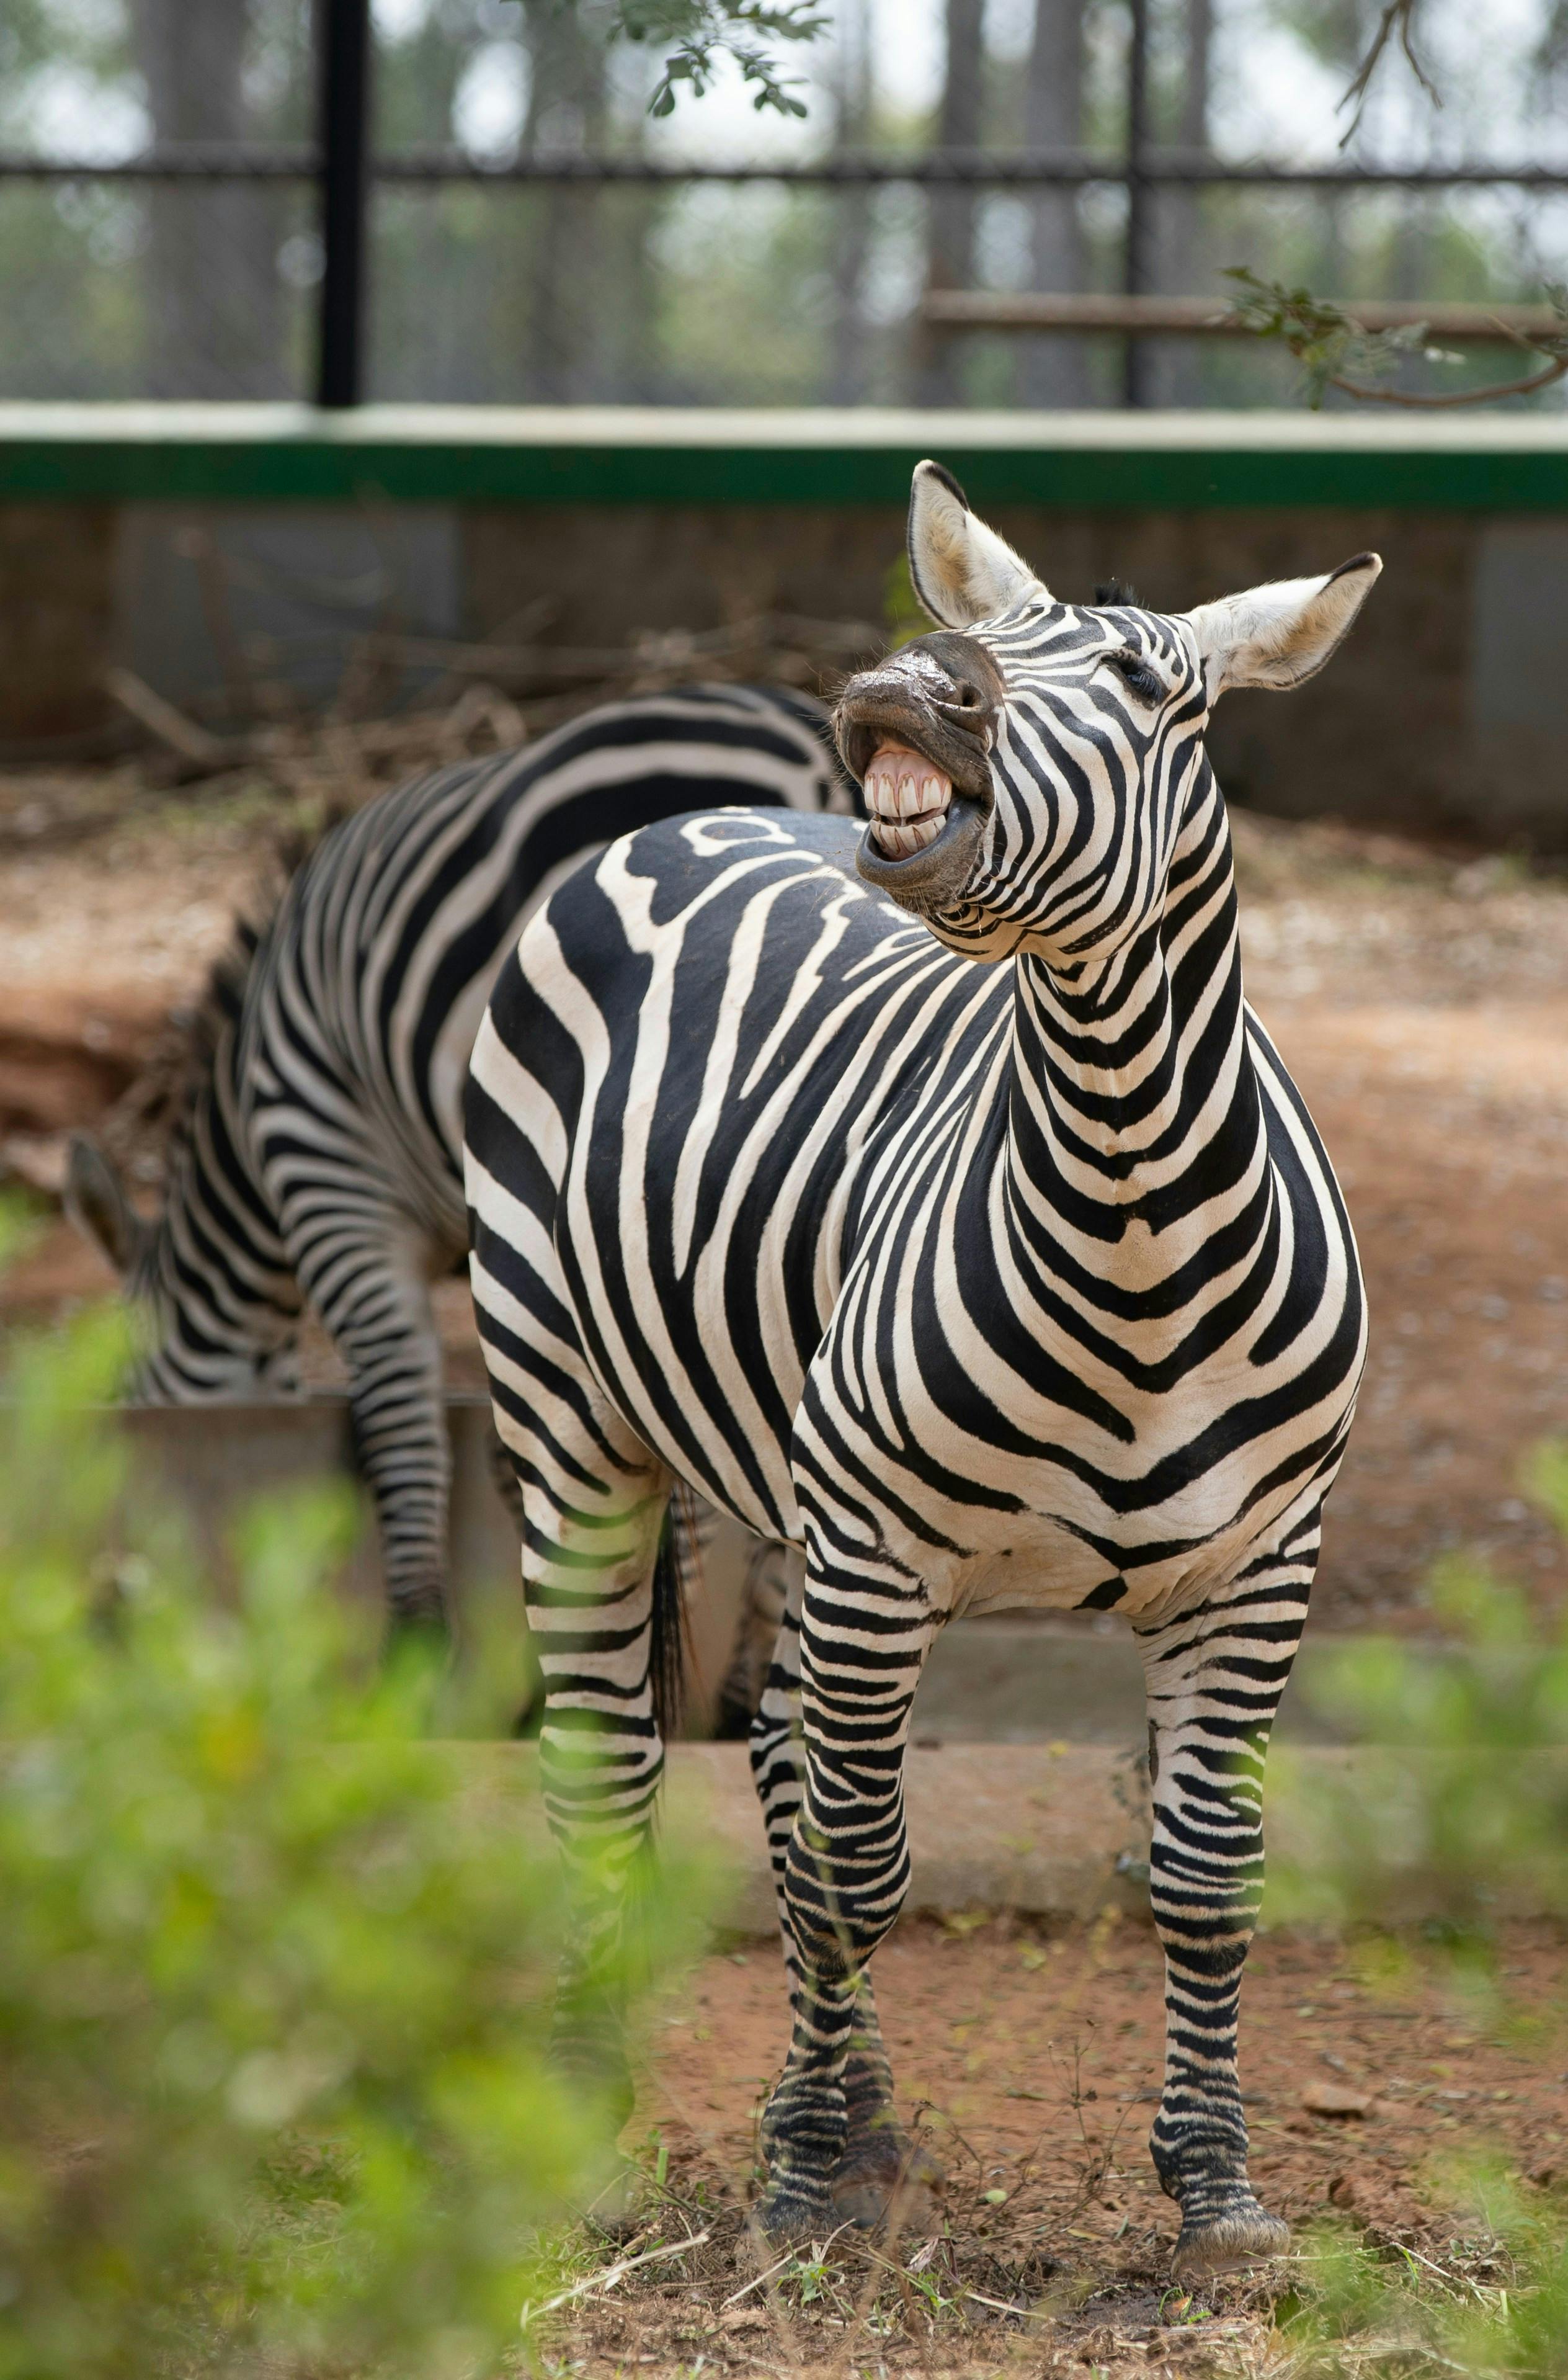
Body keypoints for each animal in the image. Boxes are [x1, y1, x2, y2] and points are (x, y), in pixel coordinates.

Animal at [463, 462, 1377, 2279]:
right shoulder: (879, 1553)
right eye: (998, 633)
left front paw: (1217, 2193)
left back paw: (864, 2113)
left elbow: (1208, 1871)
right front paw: (800, 2174)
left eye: (1152, 683)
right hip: (572, 1427)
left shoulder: (1262, 1565)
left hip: (776, 1474)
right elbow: (853, 1869)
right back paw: (603, 2126)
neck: (1130, 1207)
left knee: (764, 1751)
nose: (922, 674)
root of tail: (689, 816)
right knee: (610, 1775)